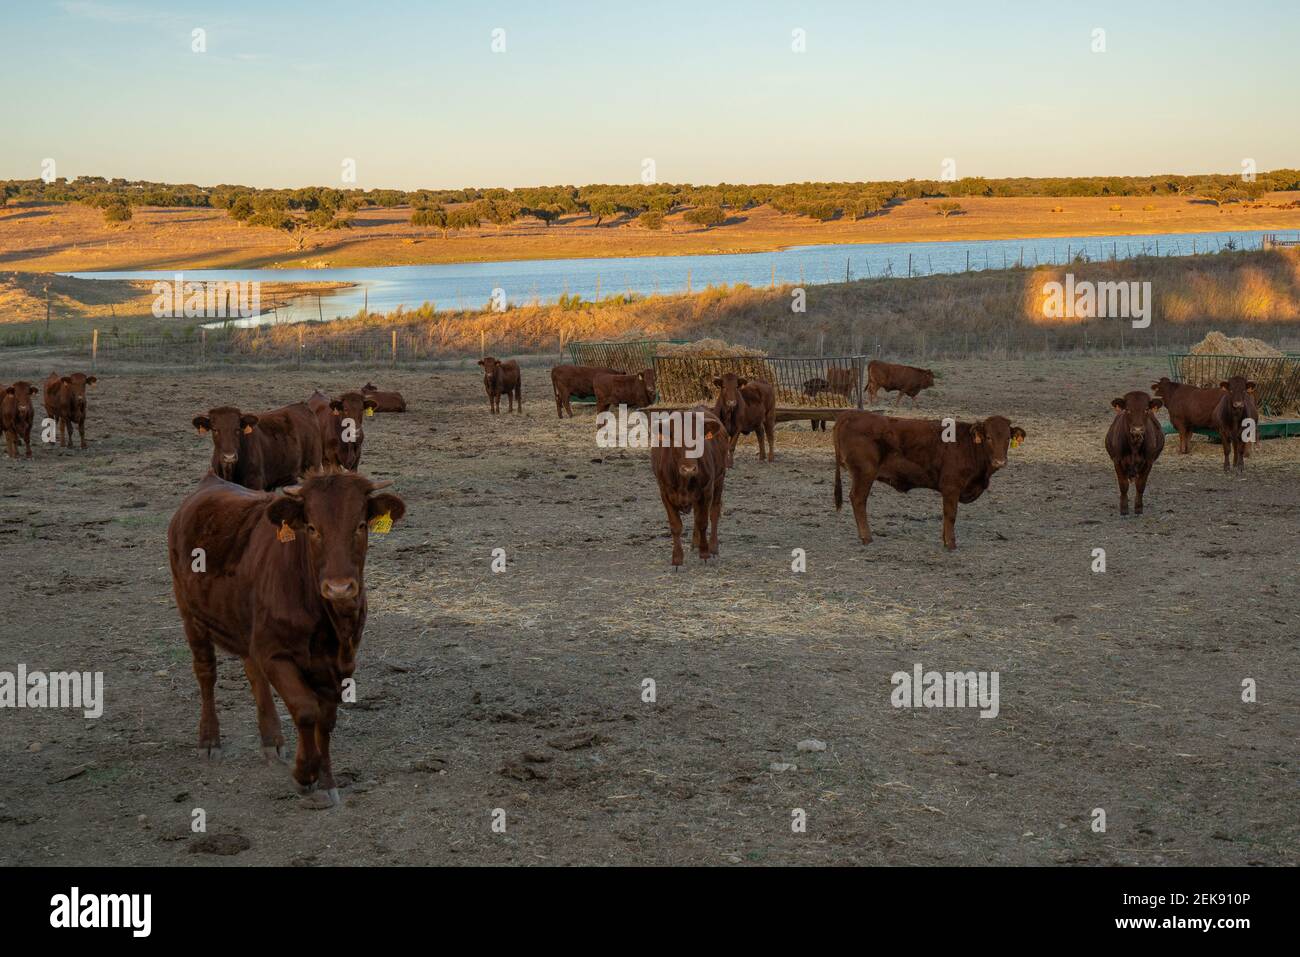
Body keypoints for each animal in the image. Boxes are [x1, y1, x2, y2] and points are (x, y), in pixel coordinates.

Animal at [167, 468, 406, 805]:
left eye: (360, 525)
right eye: (312, 527)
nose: (339, 588)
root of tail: (211, 481)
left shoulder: (339, 663)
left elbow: (326, 721)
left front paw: (327, 781)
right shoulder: (275, 653)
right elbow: (305, 710)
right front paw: (305, 774)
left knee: (253, 672)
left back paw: (271, 739)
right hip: (191, 615)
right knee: (206, 674)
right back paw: (209, 739)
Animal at [192, 402, 323, 490]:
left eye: (237, 429)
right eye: (215, 430)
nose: (229, 457)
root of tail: (302, 406)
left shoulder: (255, 483)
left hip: (312, 467)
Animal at [649, 406, 729, 567]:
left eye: (698, 439)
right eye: (675, 440)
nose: (689, 469)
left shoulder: (706, 491)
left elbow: (703, 522)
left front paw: (704, 553)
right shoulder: (664, 492)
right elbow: (676, 525)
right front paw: (677, 558)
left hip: (719, 479)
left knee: (714, 512)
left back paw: (713, 547)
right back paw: (694, 543)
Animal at [834, 412, 1026, 550]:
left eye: (1007, 438)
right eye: (988, 437)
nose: (1000, 461)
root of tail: (850, 415)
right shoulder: (951, 487)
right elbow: (950, 515)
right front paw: (950, 544)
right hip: (865, 473)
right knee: (858, 499)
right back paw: (867, 537)